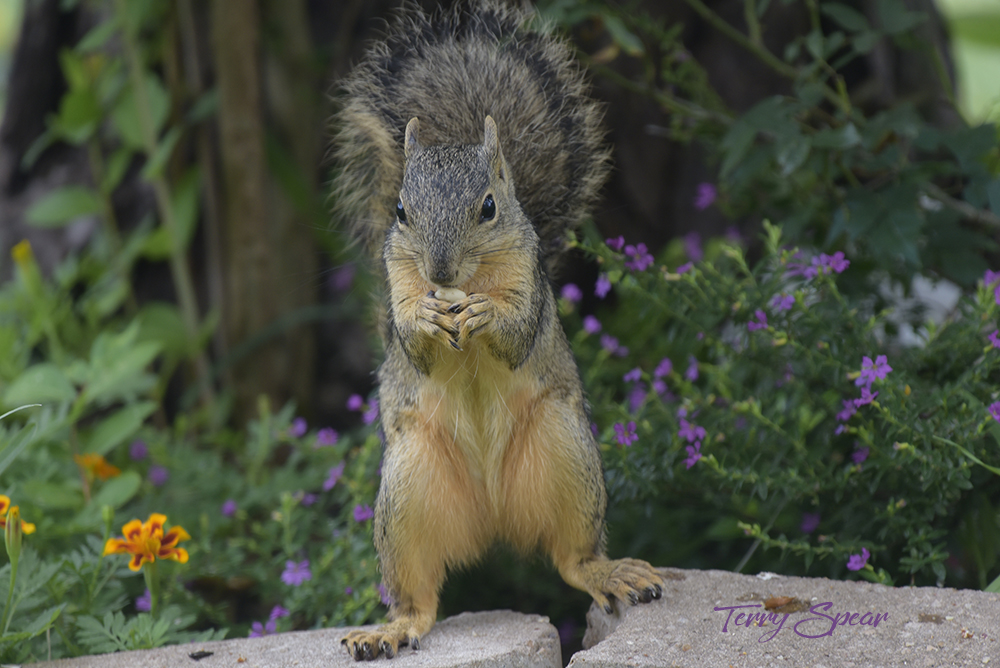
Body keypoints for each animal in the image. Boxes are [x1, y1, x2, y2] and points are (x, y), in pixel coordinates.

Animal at [331, 0, 663, 661]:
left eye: (488, 207)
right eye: (401, 211)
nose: (439, 272)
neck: (468, 280)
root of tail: (492, 521)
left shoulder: (529, 283)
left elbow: (516, 335)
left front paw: (485, 315)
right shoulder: (397, 280)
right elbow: (411, 344)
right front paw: (427, 317)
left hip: (566, 456)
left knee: (571, 558)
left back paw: (608, 571)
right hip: (407, 492)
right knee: (419, 598)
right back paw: (389, 630)